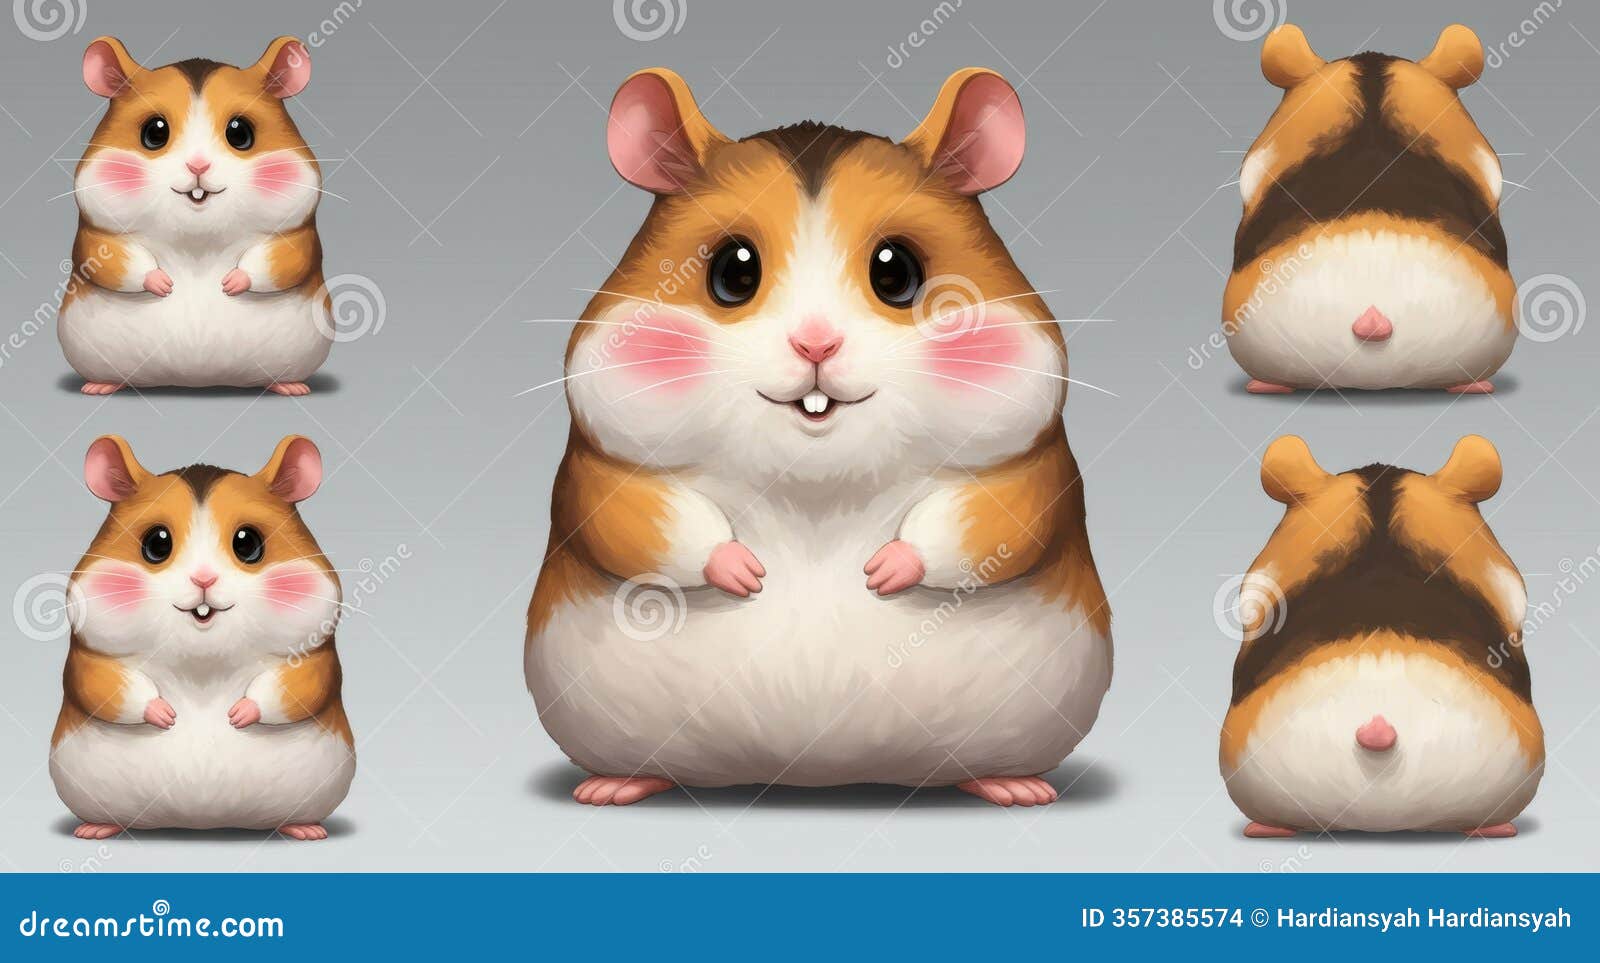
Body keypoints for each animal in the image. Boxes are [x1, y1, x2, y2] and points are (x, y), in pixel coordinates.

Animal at [49, 435, 353, 839]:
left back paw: (307, 831)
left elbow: (298, 685)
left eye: (248, 544)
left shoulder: (316, 656)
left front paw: (237, 716)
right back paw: (94, 829)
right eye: (157, 544)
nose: (203, 578)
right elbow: (103, 685)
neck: (203, 660)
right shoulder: (88, 658)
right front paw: (167, 716)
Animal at [58, 36, 331, 396]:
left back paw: (293, 387)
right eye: (155, 133)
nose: (198, 165)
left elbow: (283, 258)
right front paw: (164, 285)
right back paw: (98, 387)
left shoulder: (298, 236)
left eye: (240, 133)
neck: (198, 238)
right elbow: (112, 259)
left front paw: (229, 284)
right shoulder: (95, 237)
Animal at [524, 67, 1111, 807]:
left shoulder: (1036, 467)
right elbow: (638, 518)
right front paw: (748, 575)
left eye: (896, 271)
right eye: (733, 271)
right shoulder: (597, 469)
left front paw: (881, 573)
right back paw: (608, 788)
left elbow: (992, 518)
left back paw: (1018, 788)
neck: (815, 483)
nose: (815, 342)